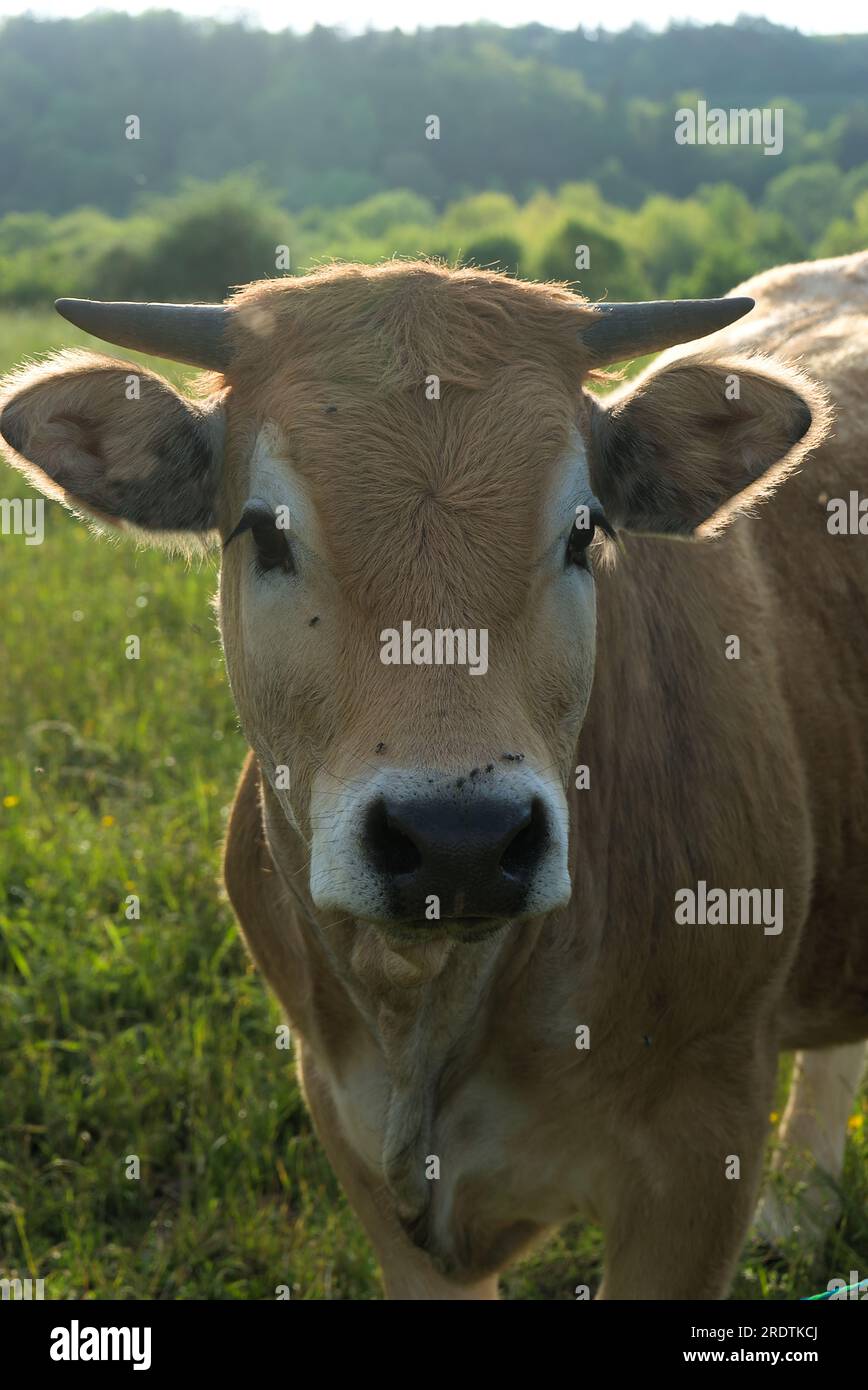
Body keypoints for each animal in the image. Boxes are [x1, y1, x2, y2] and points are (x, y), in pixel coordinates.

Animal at [1, 253, 866, 1300]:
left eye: (584, 530)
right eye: (265, 531)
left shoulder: (701, 1148)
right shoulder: (350, 1129)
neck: (429, 1006)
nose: (462, 843)